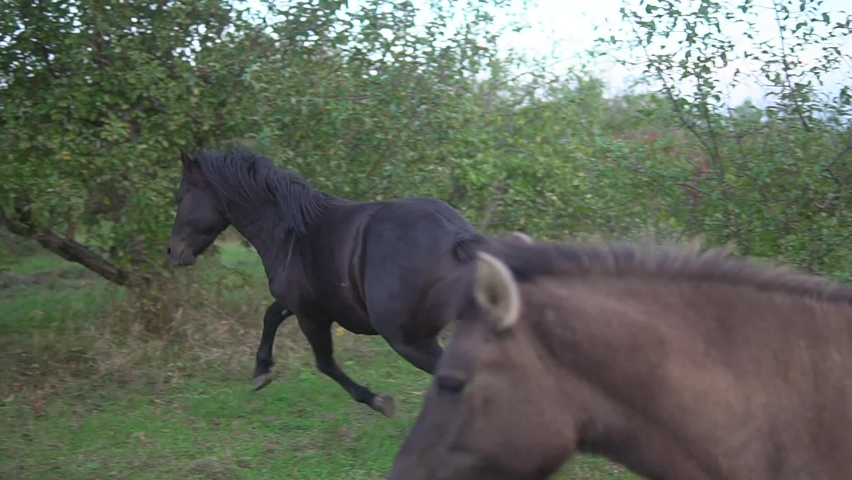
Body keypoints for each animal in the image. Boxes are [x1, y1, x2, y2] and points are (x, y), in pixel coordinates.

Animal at [165, 146, 489, 417]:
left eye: (181, 197)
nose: (172, 252)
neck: (291, 233)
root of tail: (455, 235)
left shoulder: (311, 316)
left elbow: (325, 363)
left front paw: (378, 401)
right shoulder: (299, 304)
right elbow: (271, 316)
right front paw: (261, 371)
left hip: (408, 341)